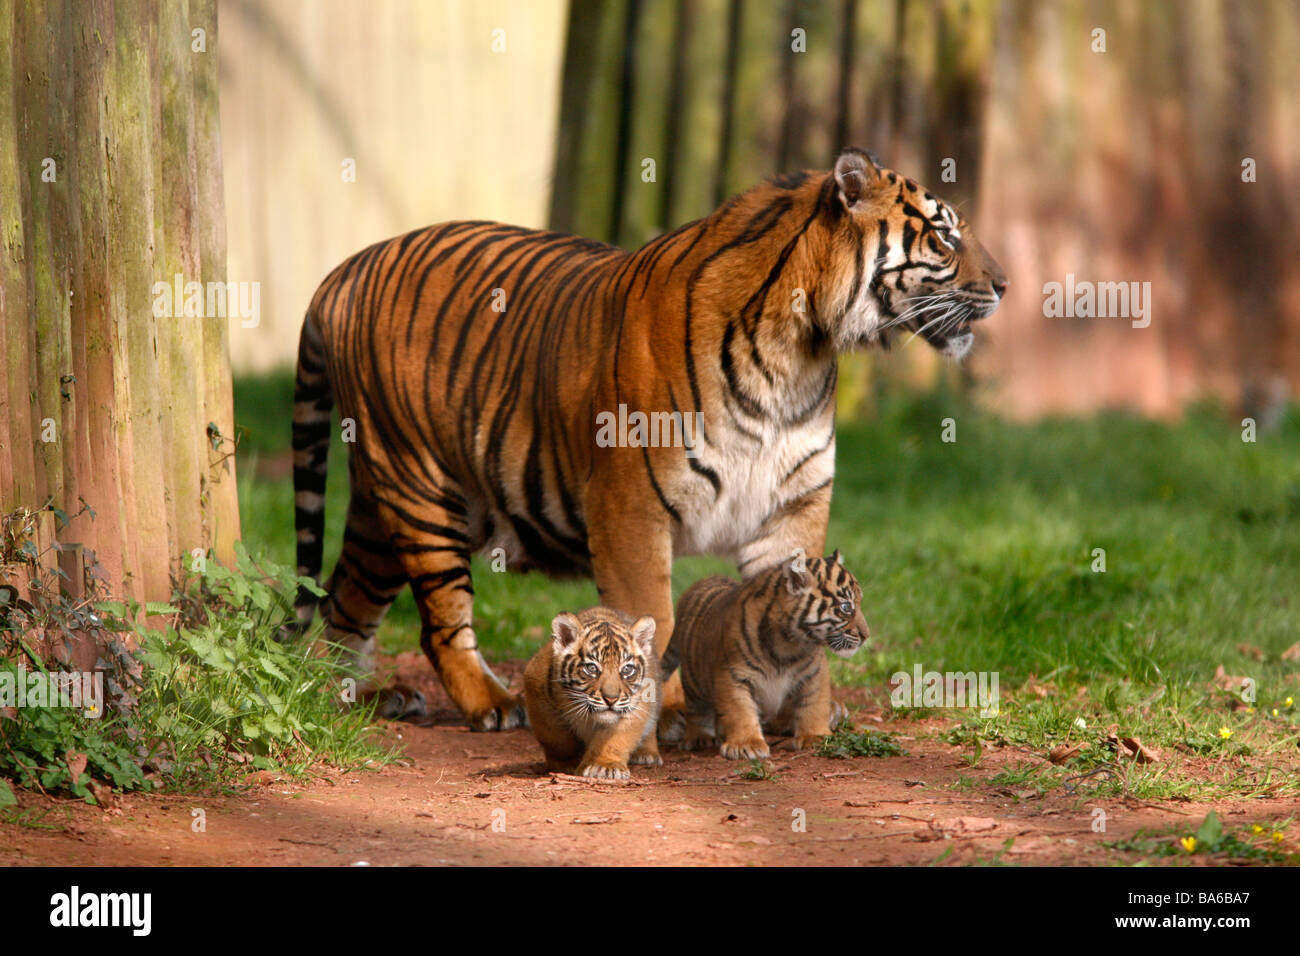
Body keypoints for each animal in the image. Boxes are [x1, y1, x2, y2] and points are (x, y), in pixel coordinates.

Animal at [292, 147, 1006, 731]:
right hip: (420, 490)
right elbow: (649, 623)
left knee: (342, 604)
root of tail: (346, 267)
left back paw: (355, 697)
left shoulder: (792, 509)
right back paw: (493, 704)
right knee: (439, 624)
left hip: (390, 511)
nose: (1004, 284)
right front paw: (646, 720)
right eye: (945, 235)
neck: (800, 355)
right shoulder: (629, 507)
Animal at [522, 607, 660, 779]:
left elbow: (615, 739)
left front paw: (604, 766)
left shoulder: (633, 706)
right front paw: (568, 762)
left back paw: (646, 753)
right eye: (592, 668)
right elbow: (556, 737)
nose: (611, 699)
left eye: (627, 669)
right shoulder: (536, 690)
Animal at [665, 550, 868, 759]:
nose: (866, 636)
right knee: (696, 710)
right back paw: (700, 738)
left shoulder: (815, 673)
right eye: (846, 607)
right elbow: (739, 709)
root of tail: (700, 583)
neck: (790, 644)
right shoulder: (732, 674)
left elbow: (814, 704)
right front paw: (746, 744)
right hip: (693, 680)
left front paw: (816, 736)